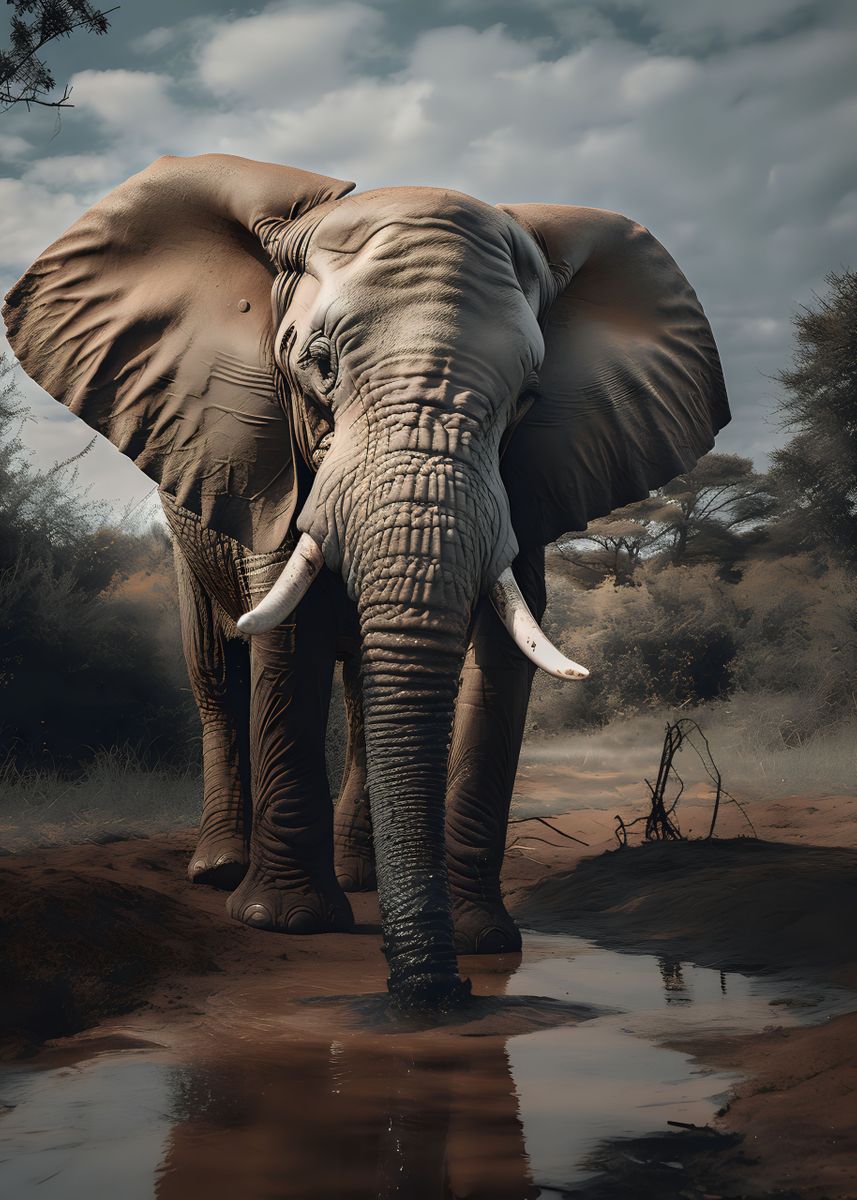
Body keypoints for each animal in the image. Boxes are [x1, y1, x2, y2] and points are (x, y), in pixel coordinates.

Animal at [2, 154, 728, 1008]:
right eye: (318, 364)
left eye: (528, 395)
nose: (439, 995)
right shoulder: (270, 460)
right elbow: (288, 633)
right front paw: (286, 924)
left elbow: (503, 653)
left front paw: (483, 941)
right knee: (216, 669)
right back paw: (223, 871)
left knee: (357, 694)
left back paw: (360, 878)